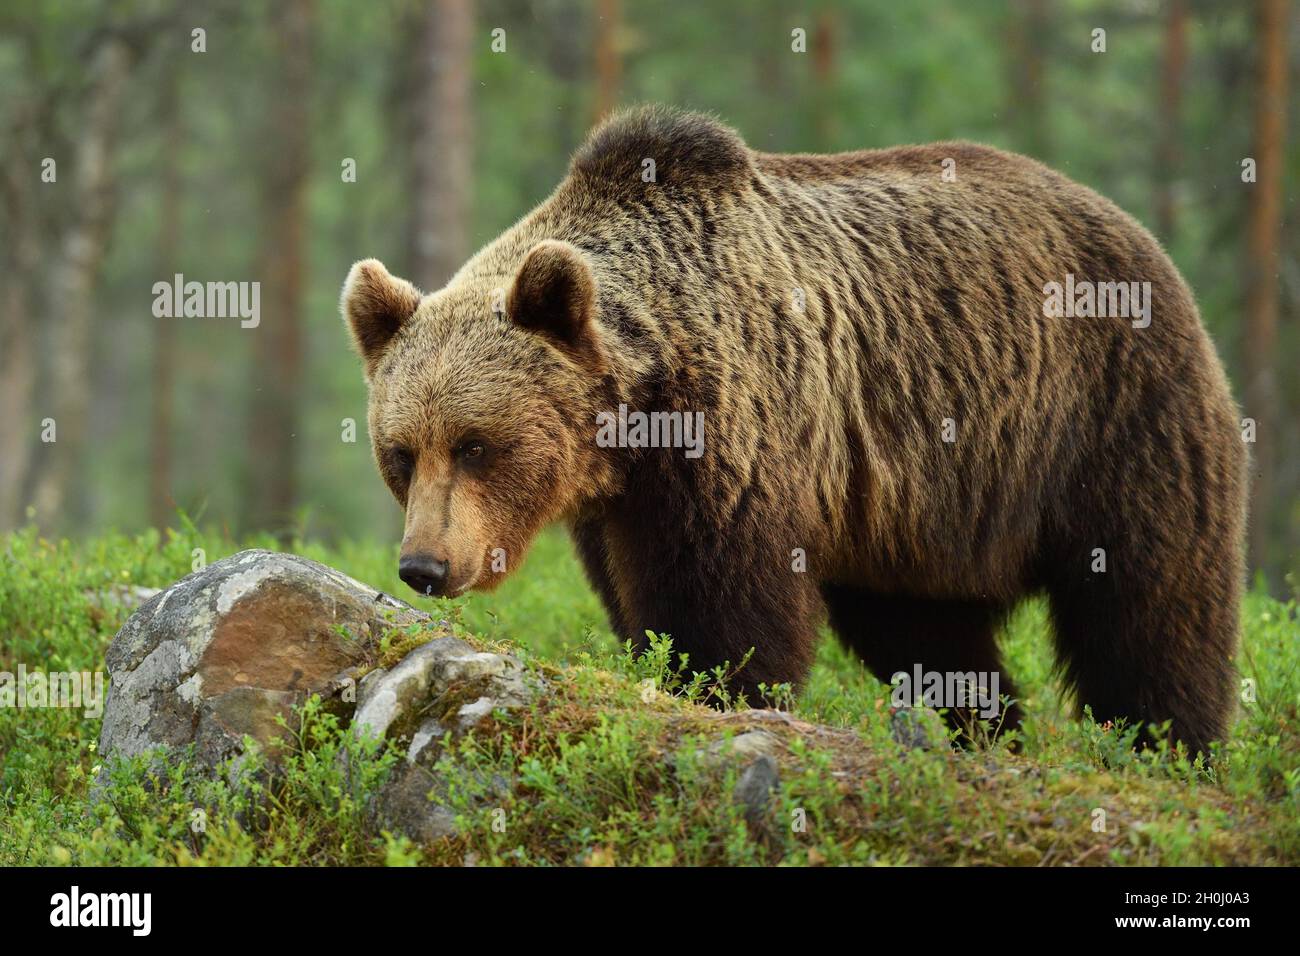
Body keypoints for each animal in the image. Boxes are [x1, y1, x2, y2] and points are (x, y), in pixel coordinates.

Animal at [341, 105, 1246, 755]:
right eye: (400, 453)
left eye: (477, 444)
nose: (424, 565)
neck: (638, 416)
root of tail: (1135, 227)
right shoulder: (620, 501)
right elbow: (639, 604)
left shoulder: (736, 432)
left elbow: (723, 602)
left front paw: (718, 692)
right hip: (922, 518)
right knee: (928, 632)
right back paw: (987, 731)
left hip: (1114, 415)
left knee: (1151, 606)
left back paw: (1166, 748)